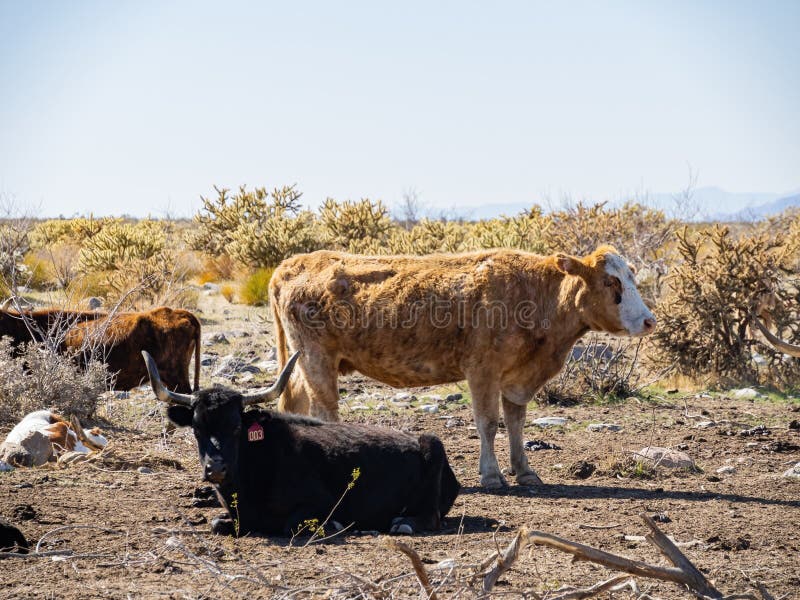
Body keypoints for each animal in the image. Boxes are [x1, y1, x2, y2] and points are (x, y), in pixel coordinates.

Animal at [141, 349, 460, 536]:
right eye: (196, 428)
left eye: (236, 427)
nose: (215, 468)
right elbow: (216, 522)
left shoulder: (321, 503)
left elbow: (291, 523)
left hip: (433, 448)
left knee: (429, 516)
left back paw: (404, 523)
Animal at [269, 246, 656, 489]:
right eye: (611, 282)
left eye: (632, 278)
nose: (649, 321)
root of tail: (292, 264)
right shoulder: (482, 369)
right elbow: (488, 422)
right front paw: (491, 475)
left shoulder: (517, 377)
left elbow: (516, 421)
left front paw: (524, 471)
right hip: (316, 358)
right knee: (325, 411)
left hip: (304, 364)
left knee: (295, 404)